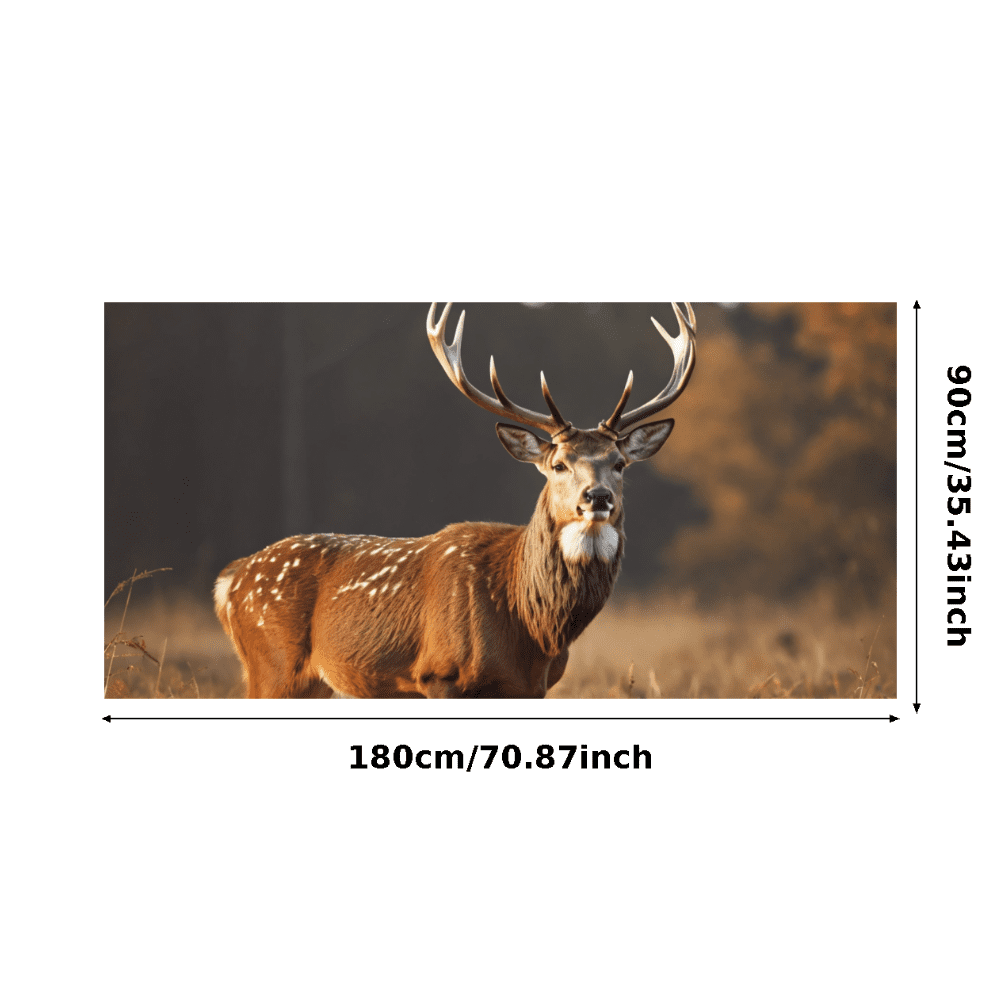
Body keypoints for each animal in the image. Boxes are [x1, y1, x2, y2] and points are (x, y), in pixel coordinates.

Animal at [213, 302, 696, 698]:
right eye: (558, 464)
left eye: (619, 463)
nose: (597, 497)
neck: (531, 628)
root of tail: (230, 582)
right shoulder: (439, 673)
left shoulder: (530, 688)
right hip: (273, 666)